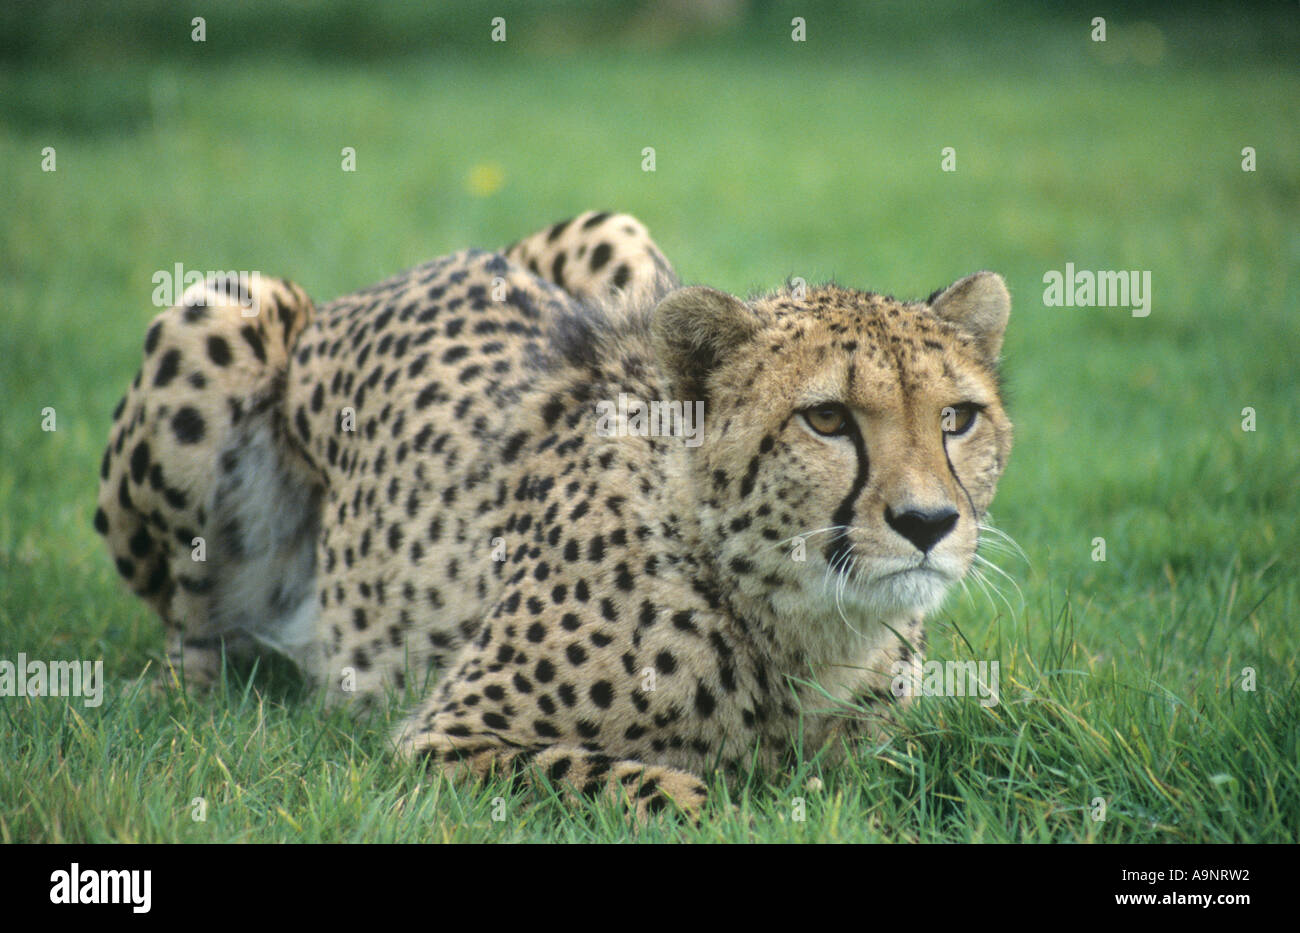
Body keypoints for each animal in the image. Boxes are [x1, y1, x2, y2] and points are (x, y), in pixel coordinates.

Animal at [95, 209, 1014, 819]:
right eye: (826, 418)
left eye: (957, 418)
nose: (928, 522)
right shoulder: (441, 740)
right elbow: (656, 785)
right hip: (224, 314)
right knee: (188, 627)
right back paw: (192, 708)